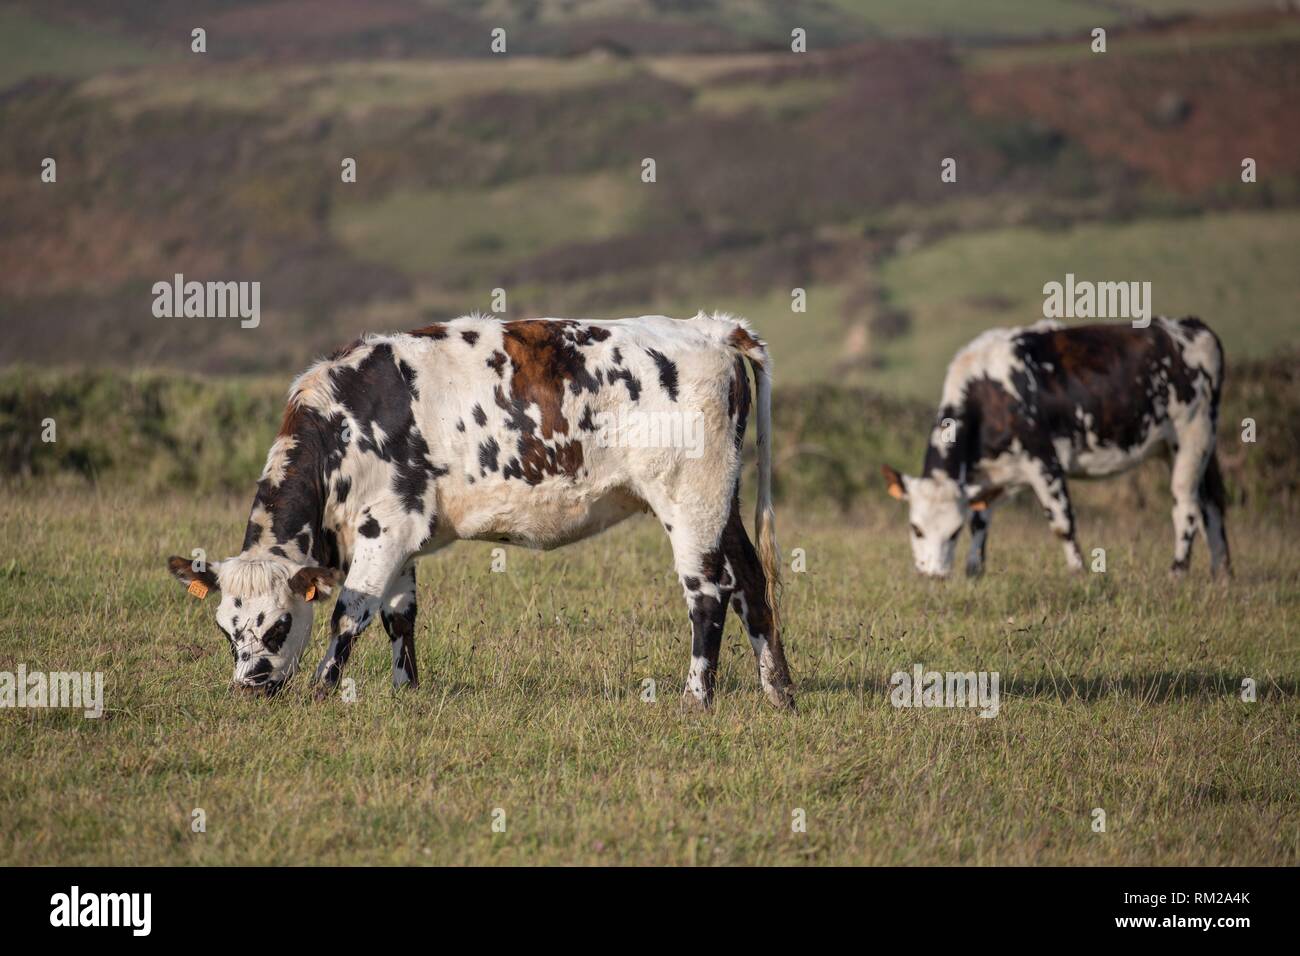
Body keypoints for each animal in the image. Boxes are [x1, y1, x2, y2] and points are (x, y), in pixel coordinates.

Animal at [166, 312, 796, 711]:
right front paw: (406, 692)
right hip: (723, 499)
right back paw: (780, 693)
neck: (344, 422)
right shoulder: (403, 531)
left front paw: (323, 691)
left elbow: (351, 611)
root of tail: (709, 327)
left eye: (278, 624)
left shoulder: (385, 525)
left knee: (708, 593)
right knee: (751, 582)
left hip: (690, 498)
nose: (249, 688)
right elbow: (399, 615)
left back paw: (696, 699)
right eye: (225, 628)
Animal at [882, 317, 1230, 579]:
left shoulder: (1044, 462)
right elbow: (980, 520)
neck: (988, 392)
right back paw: (1221, 573)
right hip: (1182, 446)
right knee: (1211, 503)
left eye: (953, 532)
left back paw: (1177, 572)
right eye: (915, 528)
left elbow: (1062, 523)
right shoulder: (991, 476)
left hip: (1192, 435)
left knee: (1186, 505)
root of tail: (1191, 326)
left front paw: (1079, 573)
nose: (933, 576)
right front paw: (974, 571)